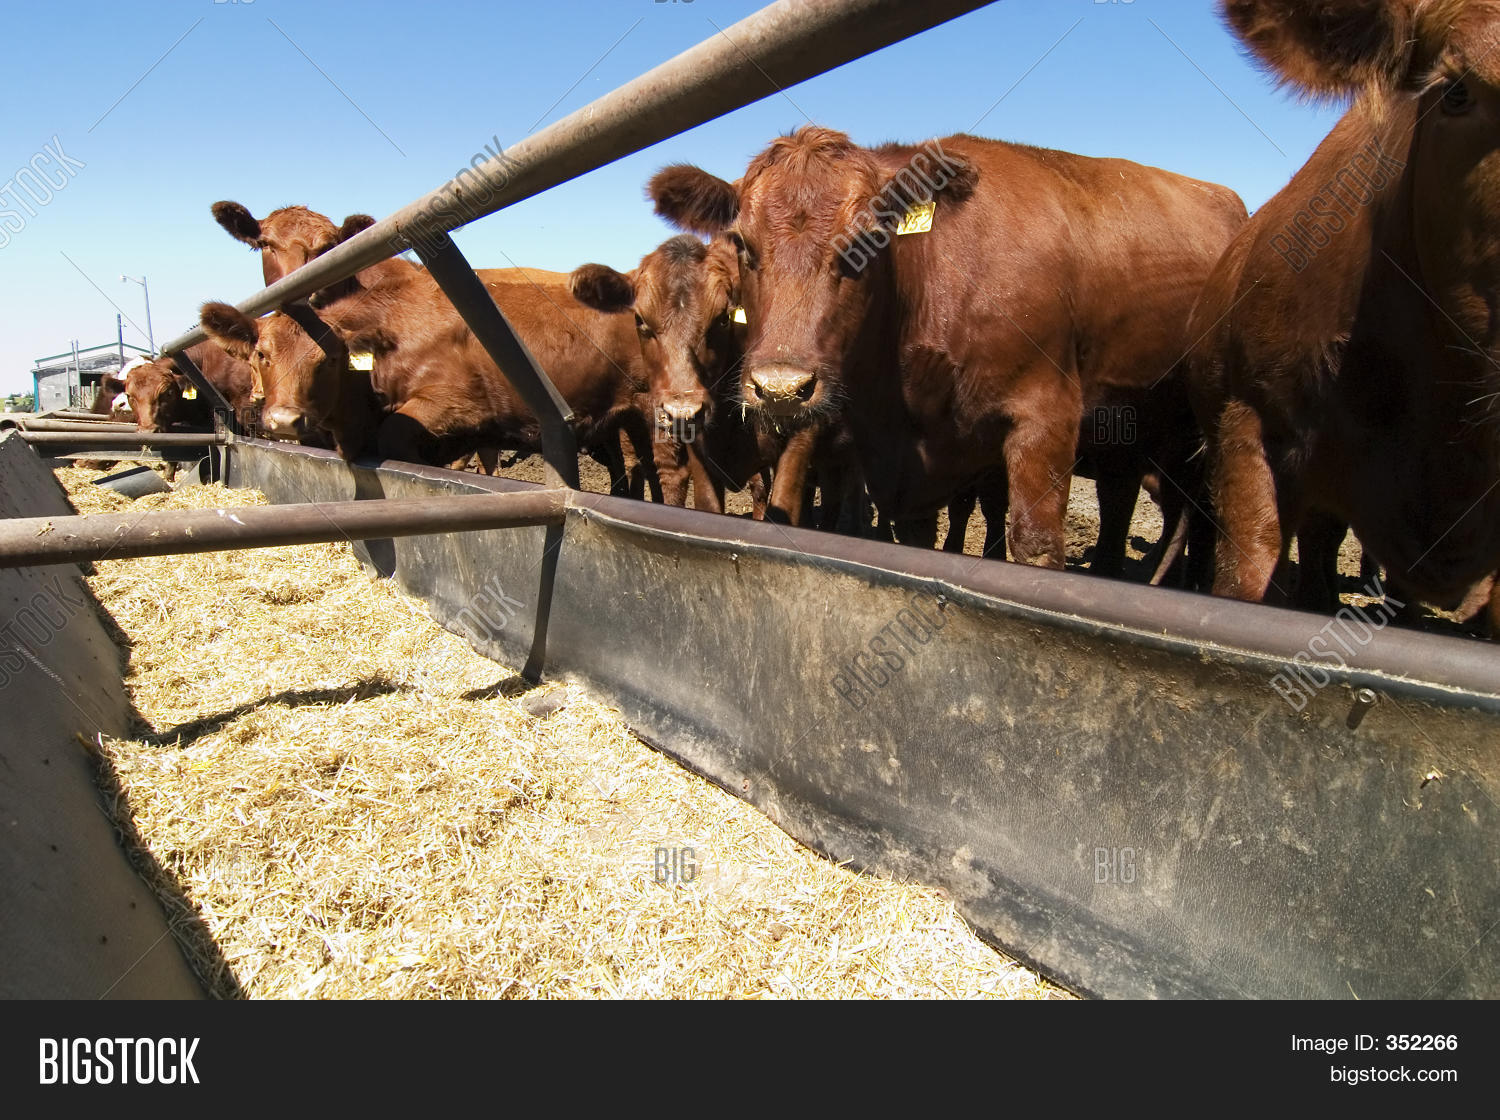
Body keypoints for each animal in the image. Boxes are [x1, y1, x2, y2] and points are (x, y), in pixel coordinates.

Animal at [646, 126, 1246, 568]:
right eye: (744, 246)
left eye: (870, 240)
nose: (780, 389)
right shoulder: (905, 466)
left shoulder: (1045, 419)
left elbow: (1034, 546)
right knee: (1120, 503)